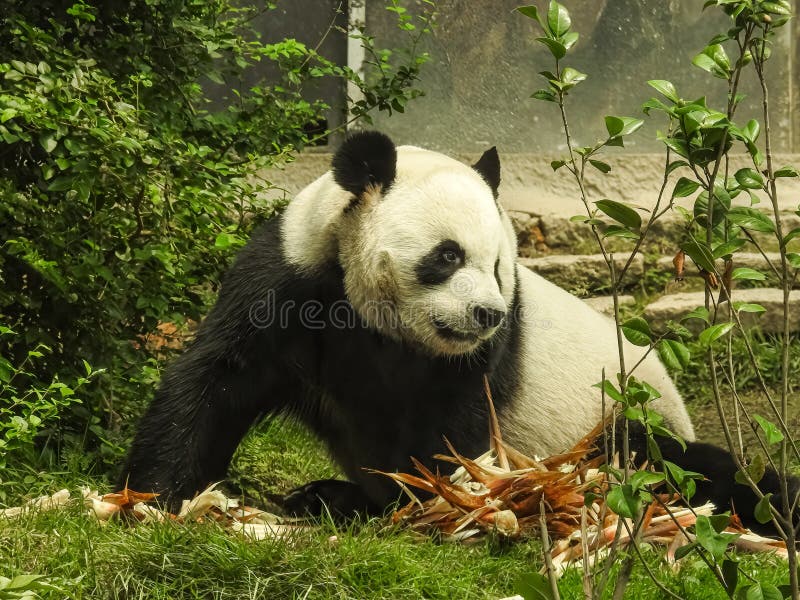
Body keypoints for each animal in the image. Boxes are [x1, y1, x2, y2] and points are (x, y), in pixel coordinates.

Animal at [121, 131, 796, 533]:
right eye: (447, 256)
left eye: (499, 266)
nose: (486, 314)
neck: (374, 320)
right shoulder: (291, 277)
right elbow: (218, 379)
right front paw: (152, 499)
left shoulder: (476, 359)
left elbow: (455, 429)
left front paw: (421, 507)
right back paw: (325, 496)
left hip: (616, 426)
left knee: (693, 468)